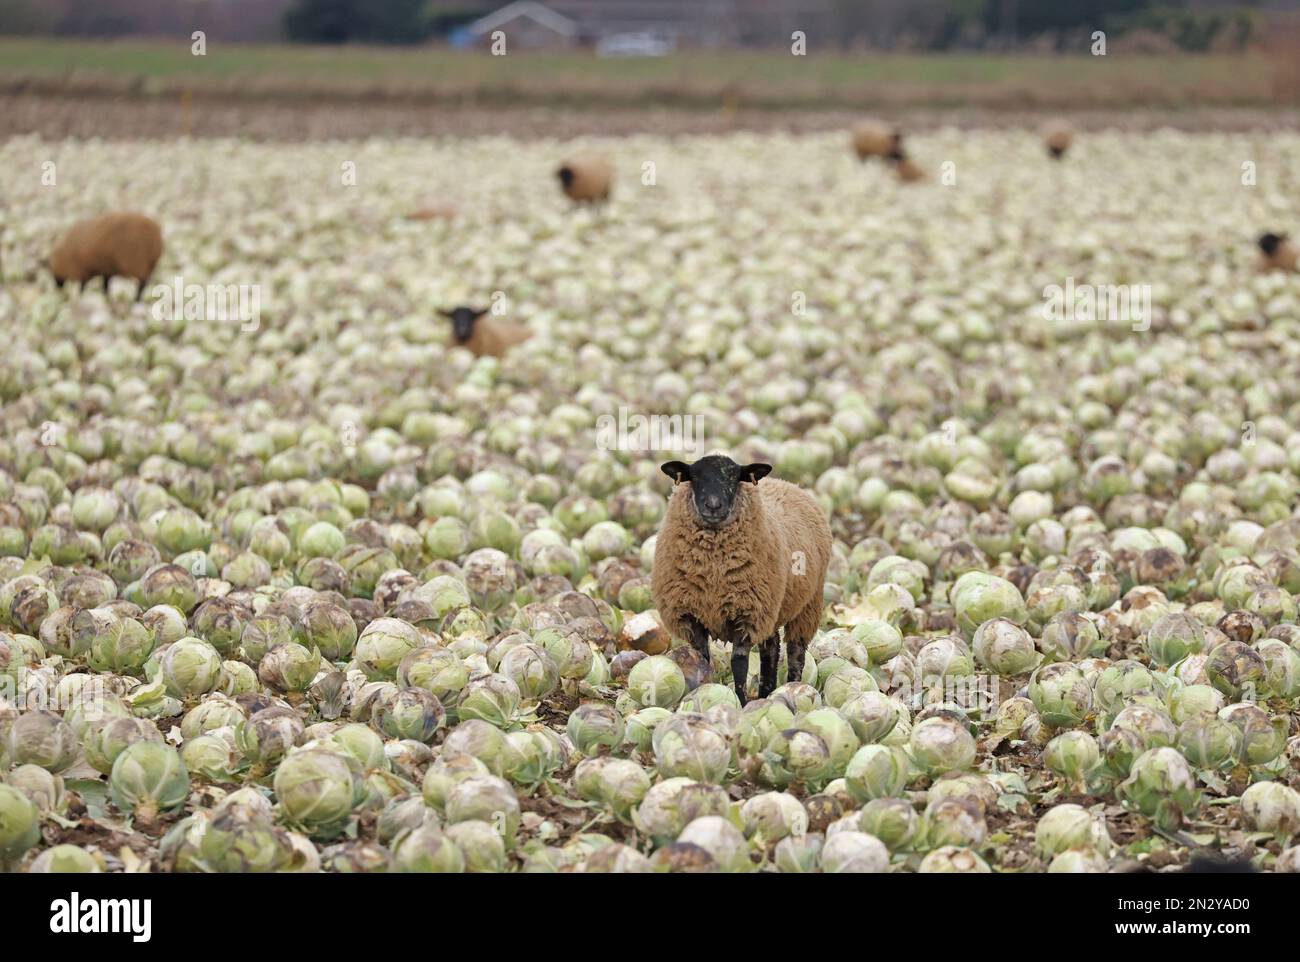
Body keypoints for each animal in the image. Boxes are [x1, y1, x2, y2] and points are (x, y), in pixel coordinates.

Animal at [650, 454, 831, 704]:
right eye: (694, 476)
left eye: (735, 478)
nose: (713, 506)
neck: (714, 574)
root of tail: (786, 483)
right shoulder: (690, 615)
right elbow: (703, 659)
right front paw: (707, 688)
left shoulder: (747, 614)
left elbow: (739, 662)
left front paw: (741, 701)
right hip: (772, 607)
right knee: (771, 648)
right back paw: (766, 693)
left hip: (807, 606)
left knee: (796, 652)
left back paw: (792, 686)